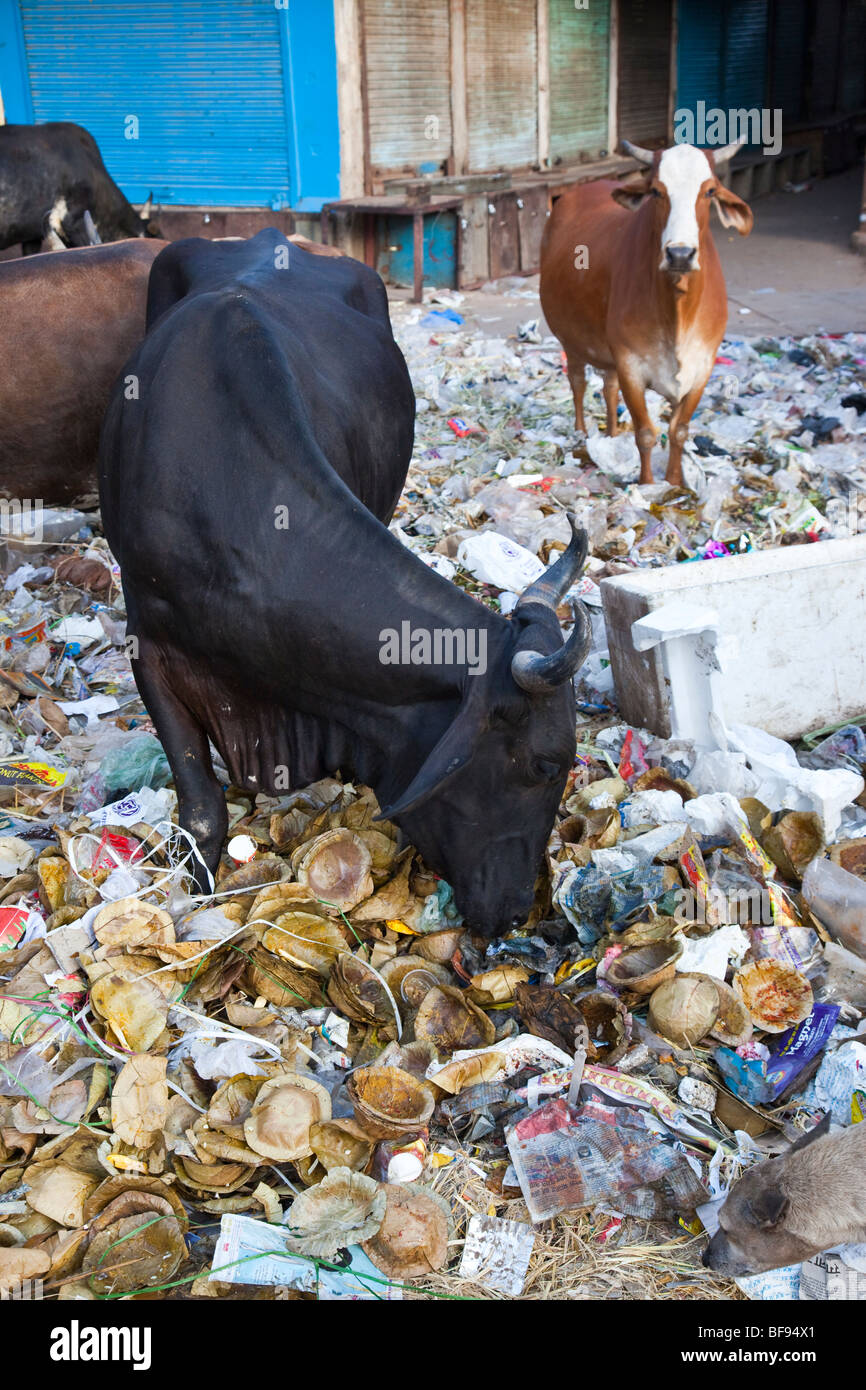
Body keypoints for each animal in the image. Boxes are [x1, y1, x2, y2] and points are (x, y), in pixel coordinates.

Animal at [539, 140, 753, 486]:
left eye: (709, 191)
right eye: (656, 191)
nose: (680, 253)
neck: (677, 308)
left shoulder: (702, 366)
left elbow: (678, 431)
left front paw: (675, 483)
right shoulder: (631, 365)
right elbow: (645, 434)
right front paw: (649, 485)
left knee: (608, 388)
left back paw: (612, 435)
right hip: (571, 341)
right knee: (578, 383)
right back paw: (581, 433)